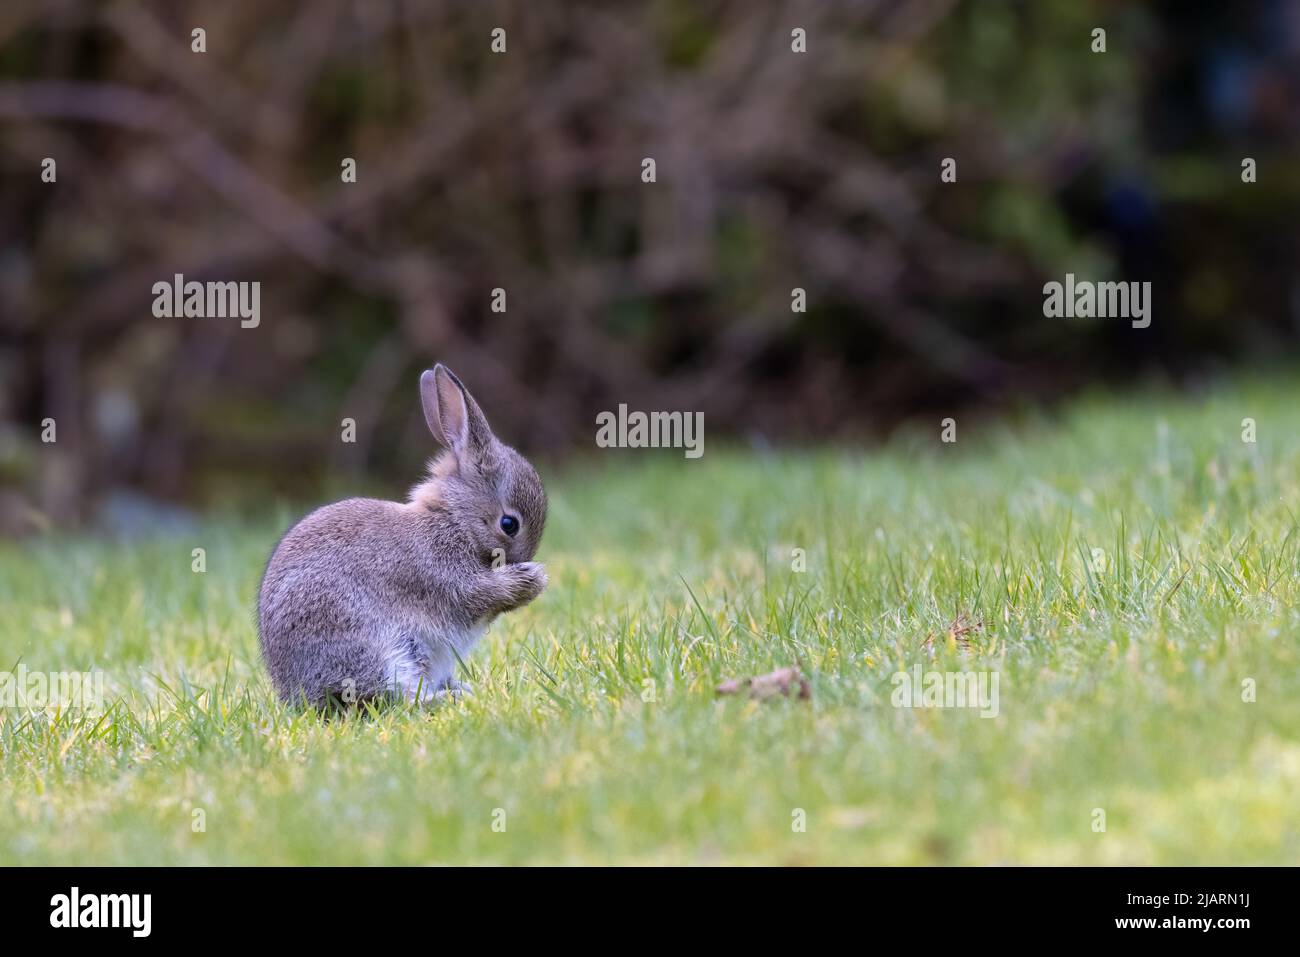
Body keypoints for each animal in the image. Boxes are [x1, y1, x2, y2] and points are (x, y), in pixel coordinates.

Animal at [257, 364, 548, 707]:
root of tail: (294, 692)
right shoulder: (440, 575)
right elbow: (475, 595)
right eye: (509, 524)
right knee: (394, 697)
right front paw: (531, 580)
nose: (520, 561)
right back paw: (445, 698)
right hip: (374, 647)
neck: (453, 520)